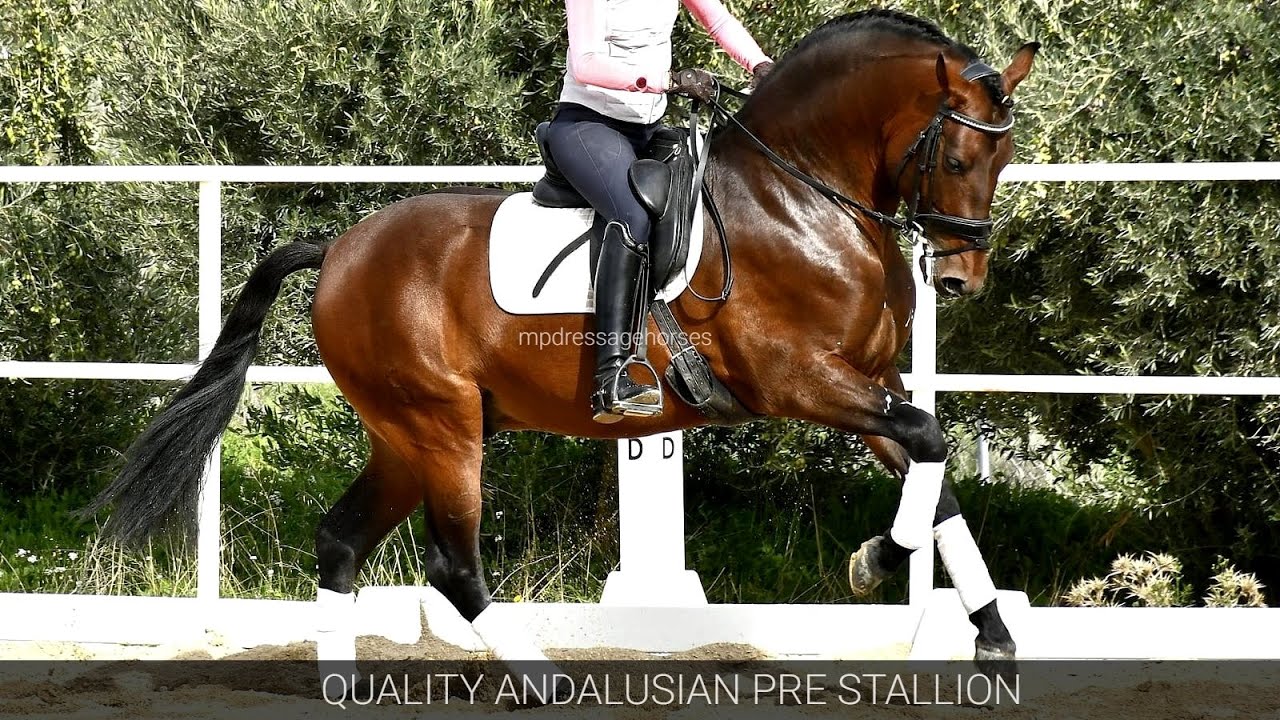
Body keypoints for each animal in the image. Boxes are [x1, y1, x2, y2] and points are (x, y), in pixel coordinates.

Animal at [87, 9, 1037, 668]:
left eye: (1003, 158)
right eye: (957, 159)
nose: (962, 278)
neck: (800, 193)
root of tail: (341, 249)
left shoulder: (870, 384)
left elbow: (937, 478)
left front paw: (989, 632)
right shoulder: (799, 378)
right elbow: (929, 446)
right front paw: (877, 561)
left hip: (408, 434)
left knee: (341, 541)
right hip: (442, 427)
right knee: (453, 569)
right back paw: (548, 682)